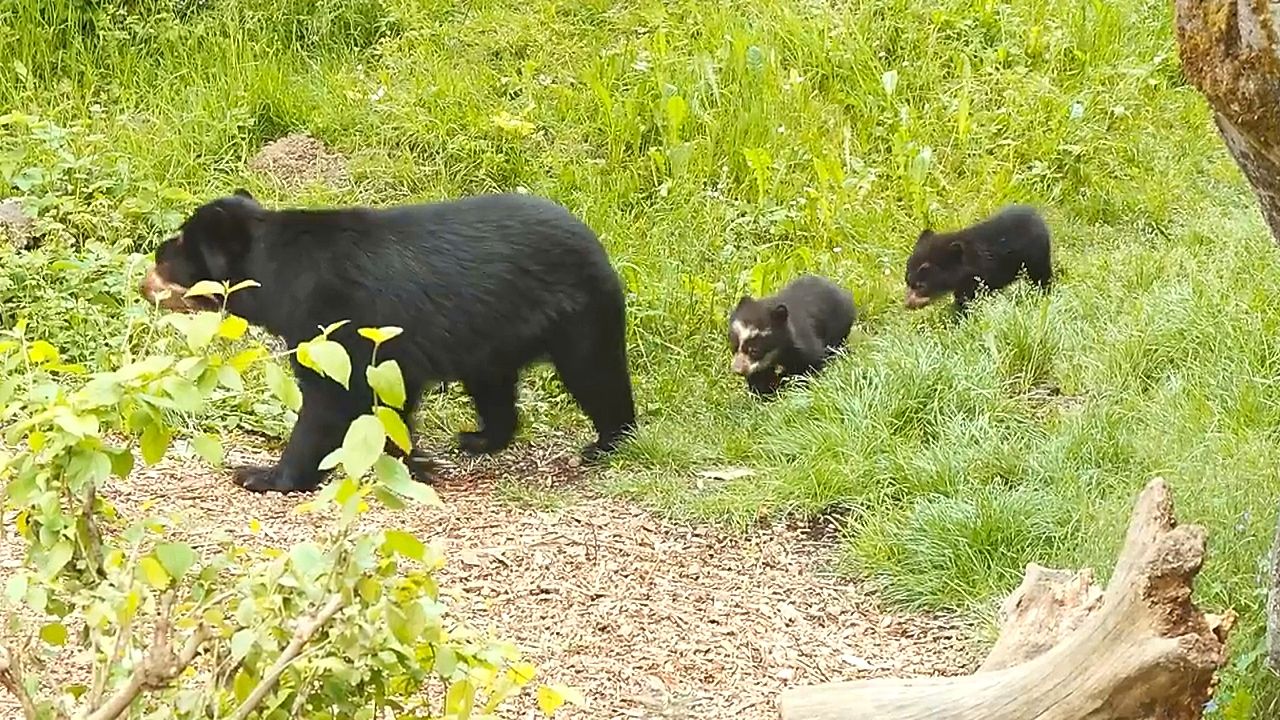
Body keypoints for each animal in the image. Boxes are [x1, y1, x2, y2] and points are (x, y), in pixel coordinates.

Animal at [140, 189, 638, 494]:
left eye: (174, 250)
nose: (148, 273)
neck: (280, 280)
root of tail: (599, 247)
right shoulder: (389, 352)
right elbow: (391, 401)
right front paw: (409, 460)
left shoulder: (331, 320)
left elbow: (331, 399)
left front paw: (261, 475)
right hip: (493, 338)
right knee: (494, 389)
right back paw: (477, 438)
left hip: (576, 316)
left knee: (596, 375)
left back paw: (607, 443)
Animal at [728, 274, 857, 397]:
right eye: (734, 346)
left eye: (754, 350)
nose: (738, 369)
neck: (776, 354)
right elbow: (760, 378)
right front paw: (763, 394)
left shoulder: (802, 344)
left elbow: (812, 362)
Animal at [903, 204, 1053, 315]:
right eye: (907, 281)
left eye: (921, 285)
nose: (908, 304)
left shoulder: (976, 278)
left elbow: (968, 299)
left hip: (1035, 258)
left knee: (1041, 276)